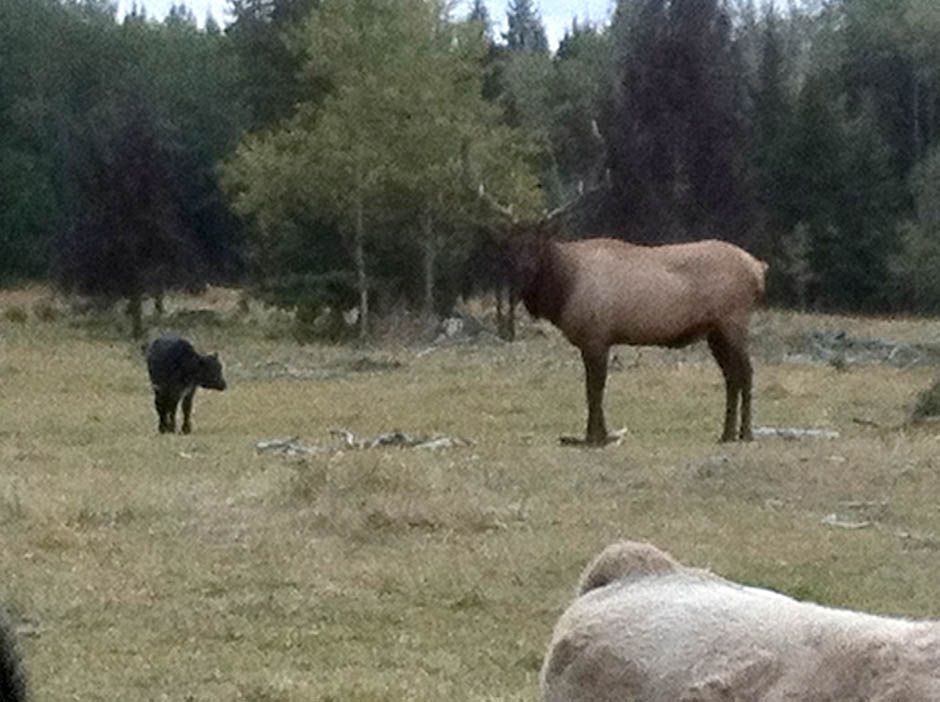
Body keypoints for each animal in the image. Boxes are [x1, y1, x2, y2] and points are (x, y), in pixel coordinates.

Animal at [481, 185, 768, 445]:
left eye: (538, 244)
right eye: (512, 245)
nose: (525, 270)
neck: (565, 288)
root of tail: (758, 269)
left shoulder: (596, 337)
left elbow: (594, 389)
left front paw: (594, 437)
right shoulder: (595, 340)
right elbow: (594, 388)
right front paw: (600, 435)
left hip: (733, 321)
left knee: (746, 372)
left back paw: (746, 434)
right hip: (715, 332)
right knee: (731, 376)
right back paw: (726, 434)